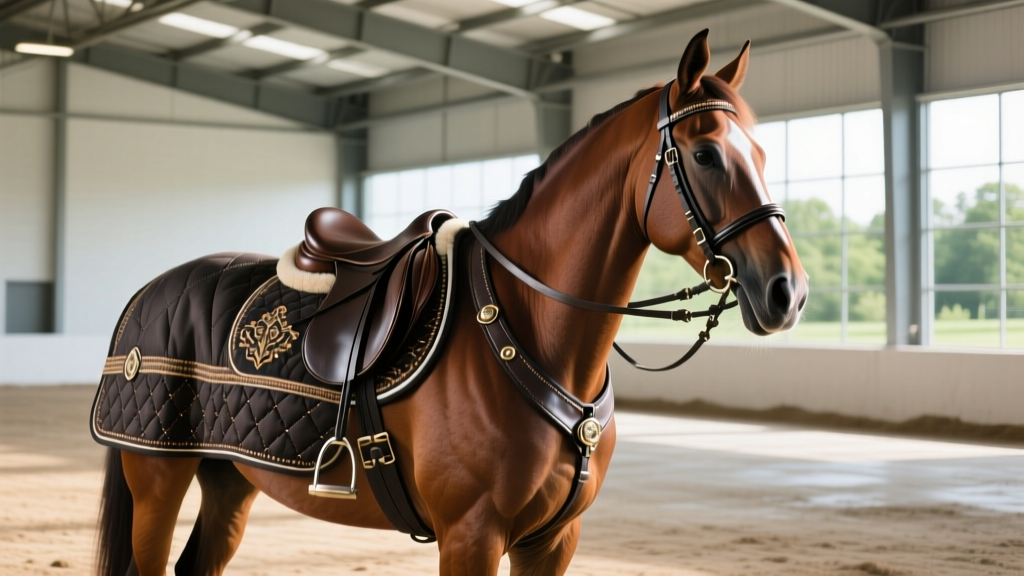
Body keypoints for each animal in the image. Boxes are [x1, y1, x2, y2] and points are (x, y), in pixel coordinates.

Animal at [92, 29, 807, 576]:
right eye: (706, 154)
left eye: (763, 152)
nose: (788, 291)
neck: (527, 328)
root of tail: (150, 291)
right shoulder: (472, 535)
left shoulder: (552, 542)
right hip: (156, 477)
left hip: (230, 478)